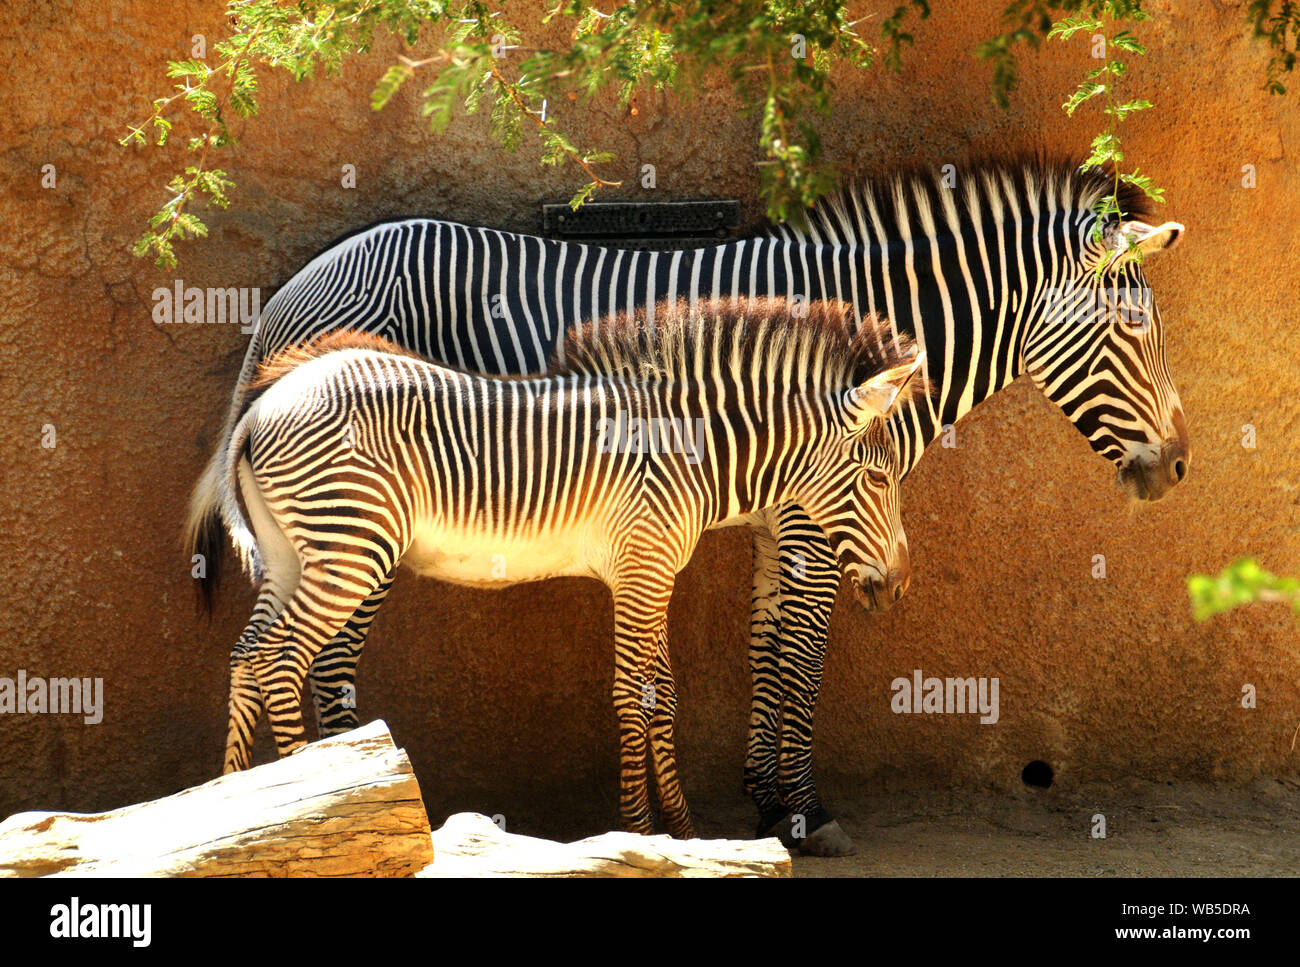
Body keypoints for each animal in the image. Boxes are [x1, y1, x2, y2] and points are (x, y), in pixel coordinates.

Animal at [215, 298, 926, 837]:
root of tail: (260, 405)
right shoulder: (642, 569)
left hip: (292, 551)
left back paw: (236, 802)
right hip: (350, 545)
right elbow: (633, 694)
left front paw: (683, 831)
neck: (689, 449)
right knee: (280, 658)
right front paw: (640, 830)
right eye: (878, 477)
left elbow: (663, 694)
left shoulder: (652, 571)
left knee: (247, 653)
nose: (900, 586)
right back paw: (300, 793)